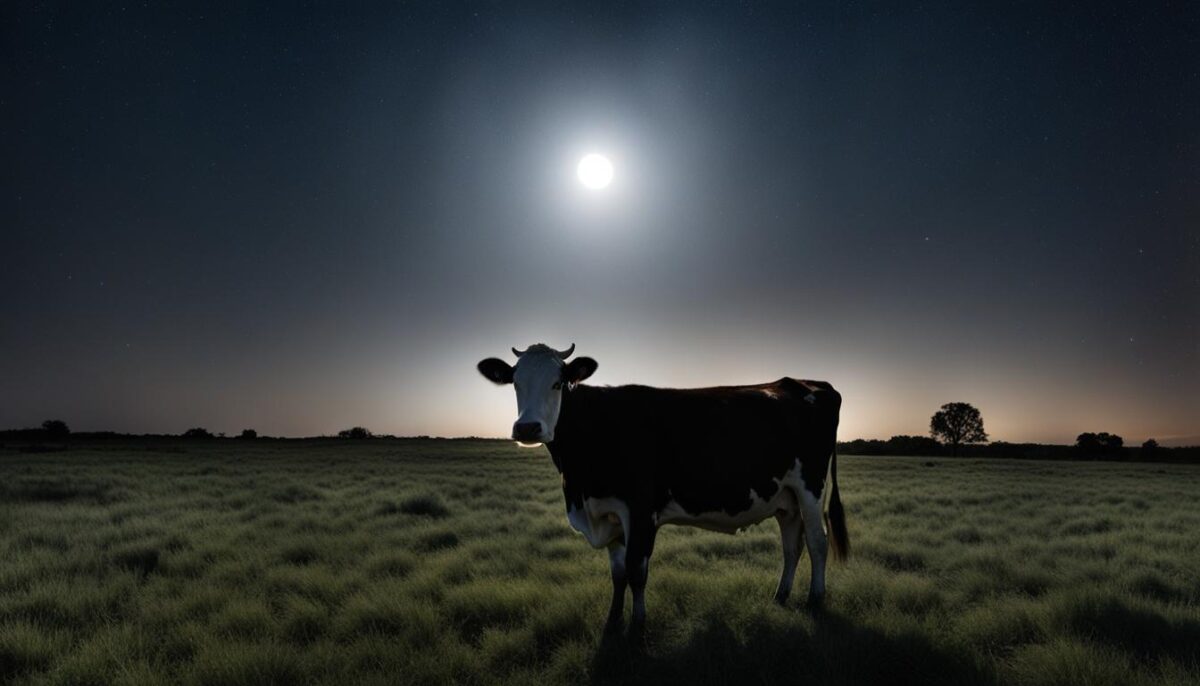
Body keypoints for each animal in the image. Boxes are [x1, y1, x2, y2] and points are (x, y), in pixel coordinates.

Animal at [477, 343, 848, 633]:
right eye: (515, 383)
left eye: (558, 383)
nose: (527, 428)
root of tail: (807, 383)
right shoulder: (607, 512)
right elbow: (618, 573)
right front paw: (612, 622)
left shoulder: (641, 510)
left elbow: (637, 571)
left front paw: (637, 627)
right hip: (786, 497)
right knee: (791, 545)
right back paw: (781, 596)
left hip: (811, 486)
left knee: (817, 542)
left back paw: (815, 600)